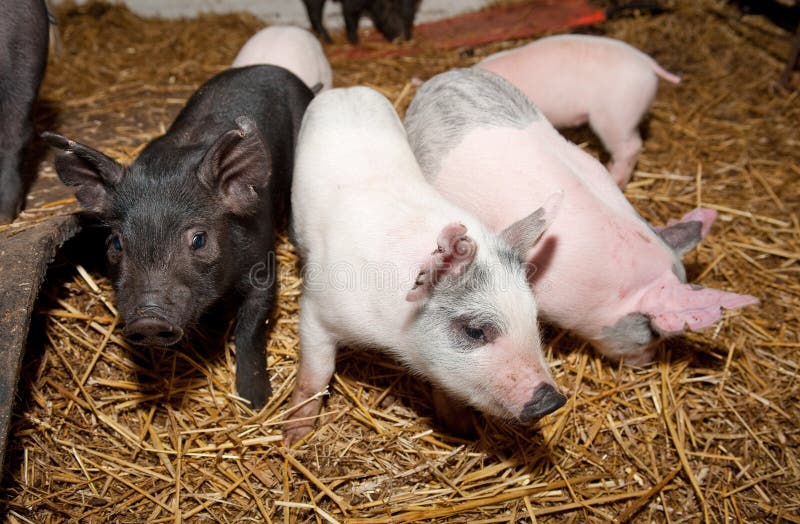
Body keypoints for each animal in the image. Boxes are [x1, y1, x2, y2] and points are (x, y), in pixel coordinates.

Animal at [42, 65, 315, 409]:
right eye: (116, 243)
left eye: (199, 239)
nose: (149, 319)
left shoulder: (263, 267)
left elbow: (251, 329)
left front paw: (256, 402)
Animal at [284, 86, 565, 444]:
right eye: (475, 331)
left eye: (533, 317)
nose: (552, 400)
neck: (391, 333)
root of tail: (347, 89)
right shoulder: (316, 310)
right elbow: (315, 375)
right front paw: (293, 438)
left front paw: (462, 428)